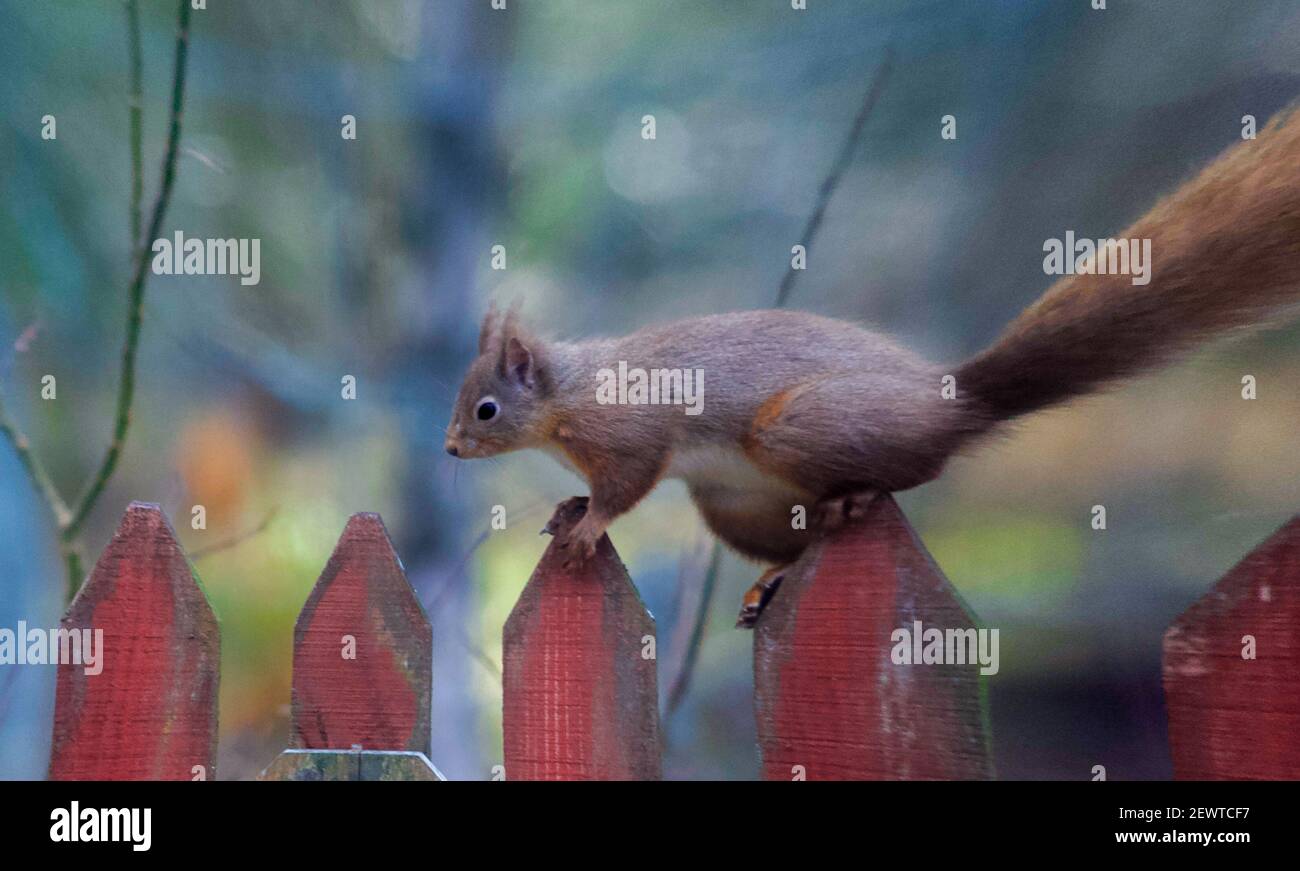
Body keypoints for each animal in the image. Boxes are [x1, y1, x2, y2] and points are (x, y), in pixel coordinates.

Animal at [446, 106, 1300, 627]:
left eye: (486, 408)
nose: (451, 449)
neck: (566, 394)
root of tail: (956, 400)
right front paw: (566, 507)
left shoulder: (625, 430)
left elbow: (625, 483)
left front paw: (588, 523)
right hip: (735, 502)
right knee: (795, 547)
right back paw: (771, 580)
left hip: (797, 426)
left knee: (907, 474)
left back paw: (854, 498)